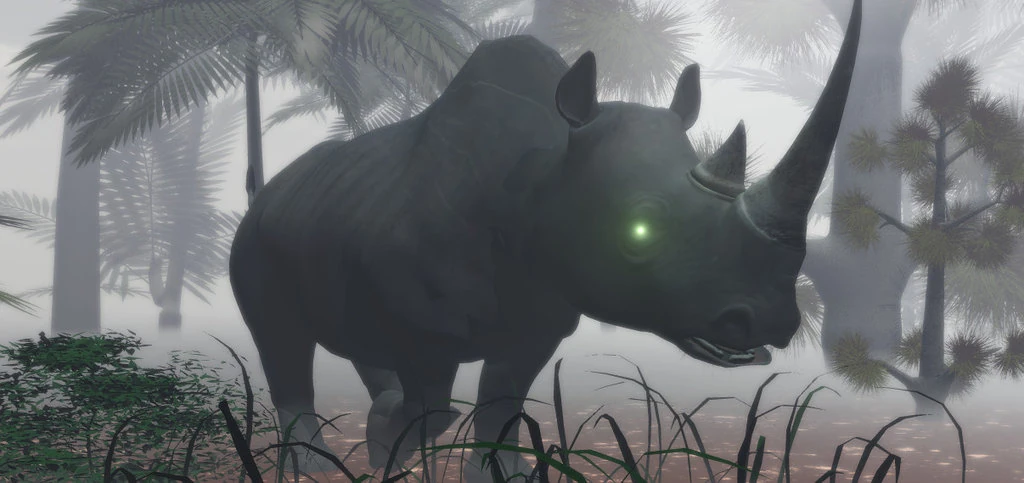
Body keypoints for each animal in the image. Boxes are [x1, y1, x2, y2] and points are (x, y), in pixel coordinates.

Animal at [229, 0, 861, 478]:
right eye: (639, 231)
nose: (772, 321)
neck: (542, 175)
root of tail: (267, 193)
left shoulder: (538, 320)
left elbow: (500, 408)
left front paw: (479, 467)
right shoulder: (422, 330)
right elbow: (431, 407)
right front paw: (389, 443)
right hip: (253, 240)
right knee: (281, 341)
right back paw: (318, 464)